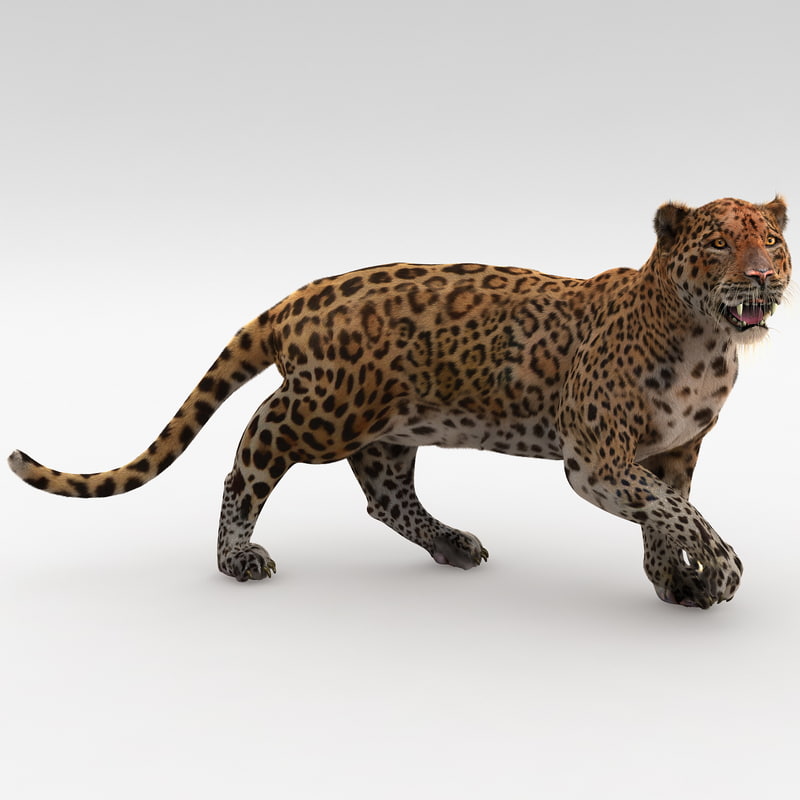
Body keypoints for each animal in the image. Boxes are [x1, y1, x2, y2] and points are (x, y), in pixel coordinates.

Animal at [8, 196, 790, 608]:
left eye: (773, 244)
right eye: (718, 246)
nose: (761, 278)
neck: (706, 340)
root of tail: (292, 300)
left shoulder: (674, 450)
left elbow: (666, 513)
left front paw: (677, 582)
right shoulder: (595, 461)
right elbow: (675, 513)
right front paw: (722, 571)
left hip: (390, 425)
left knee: (385, 495)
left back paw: (450, 542)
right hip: (322, 411)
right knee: (251, 450)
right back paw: (238, 556)